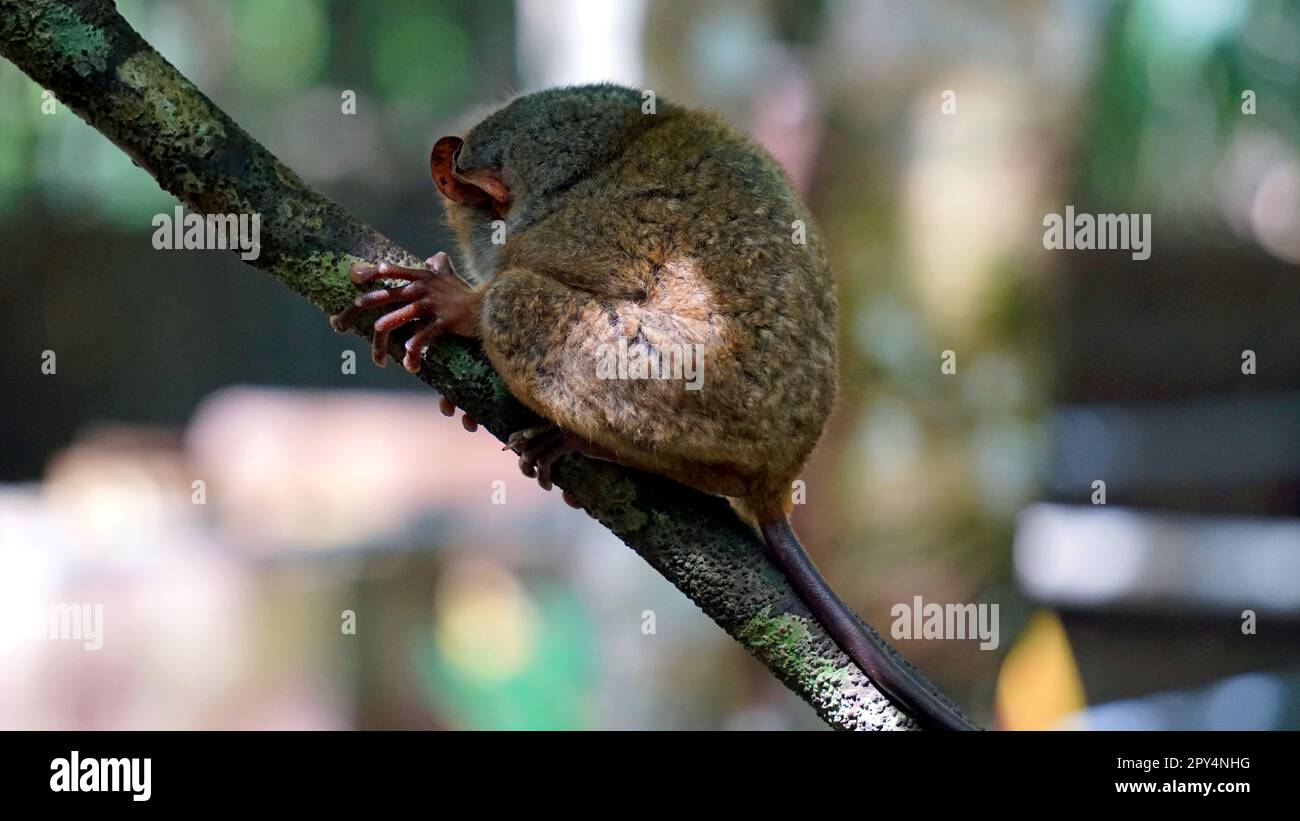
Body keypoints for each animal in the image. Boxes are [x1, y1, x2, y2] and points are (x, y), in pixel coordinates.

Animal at [330, 84, 978, 731]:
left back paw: (579, 439)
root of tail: (778, 479)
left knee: (513, 302)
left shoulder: (579, 228)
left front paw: (452, 303)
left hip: (684, 385)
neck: (594, 161)